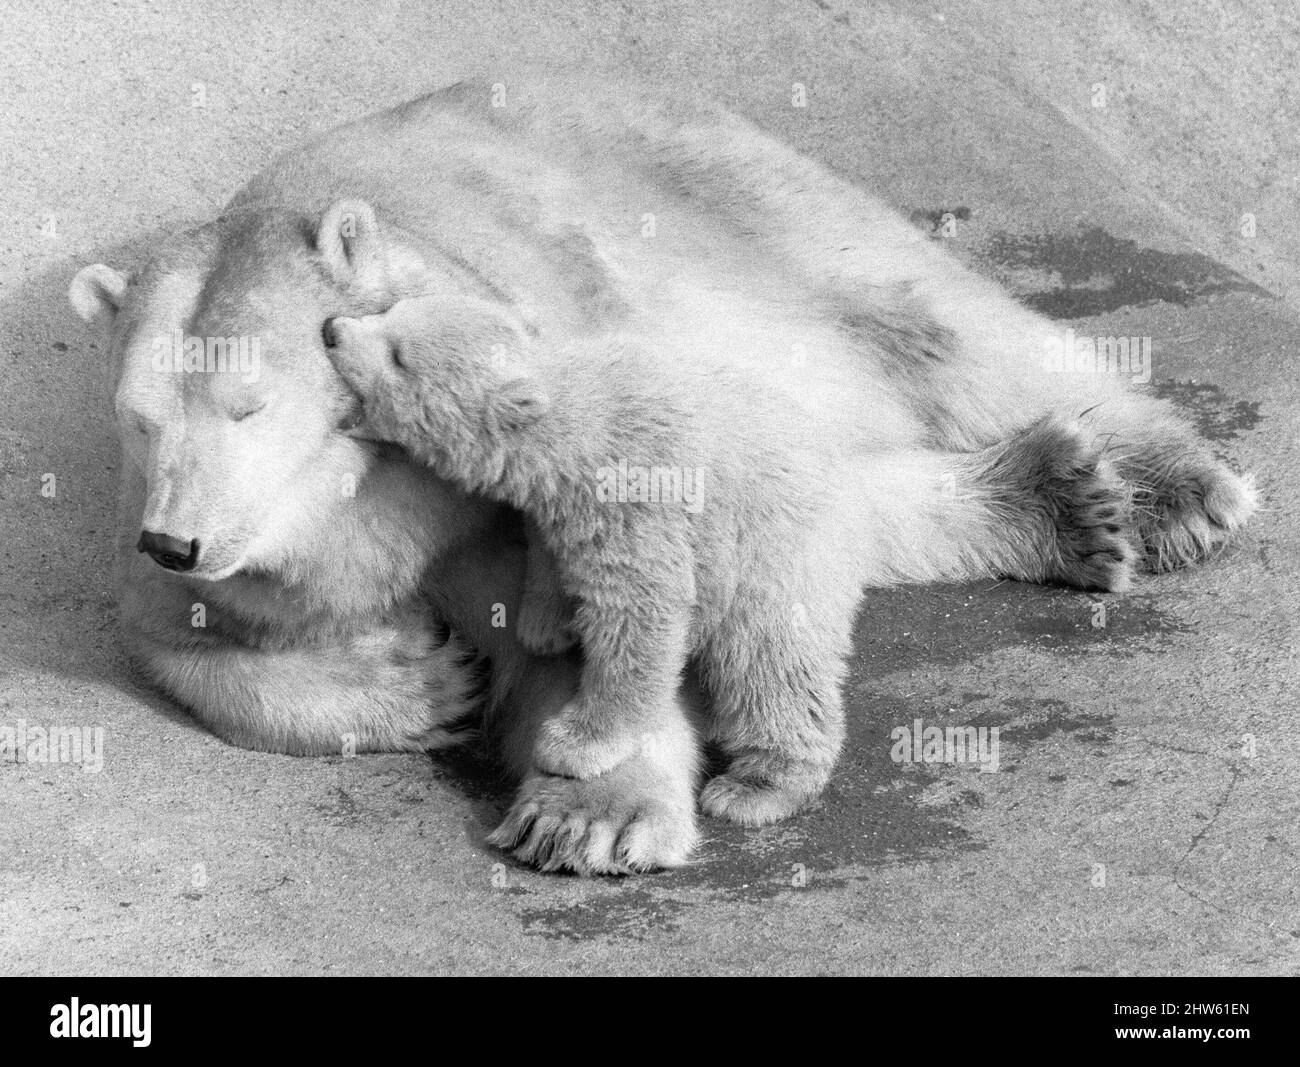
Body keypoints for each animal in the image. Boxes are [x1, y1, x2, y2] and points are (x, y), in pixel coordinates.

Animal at [67, 76, 1258, 870]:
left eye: (249, 404)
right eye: (137, 419)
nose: (176, 537)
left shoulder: (510, 469)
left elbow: (592, 627)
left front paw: (585, 811)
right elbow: (177, 645)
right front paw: (424, 677)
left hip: (736, 206)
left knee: (934, 326)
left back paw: (1172, 486)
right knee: (823, 490)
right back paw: (1067, 502)